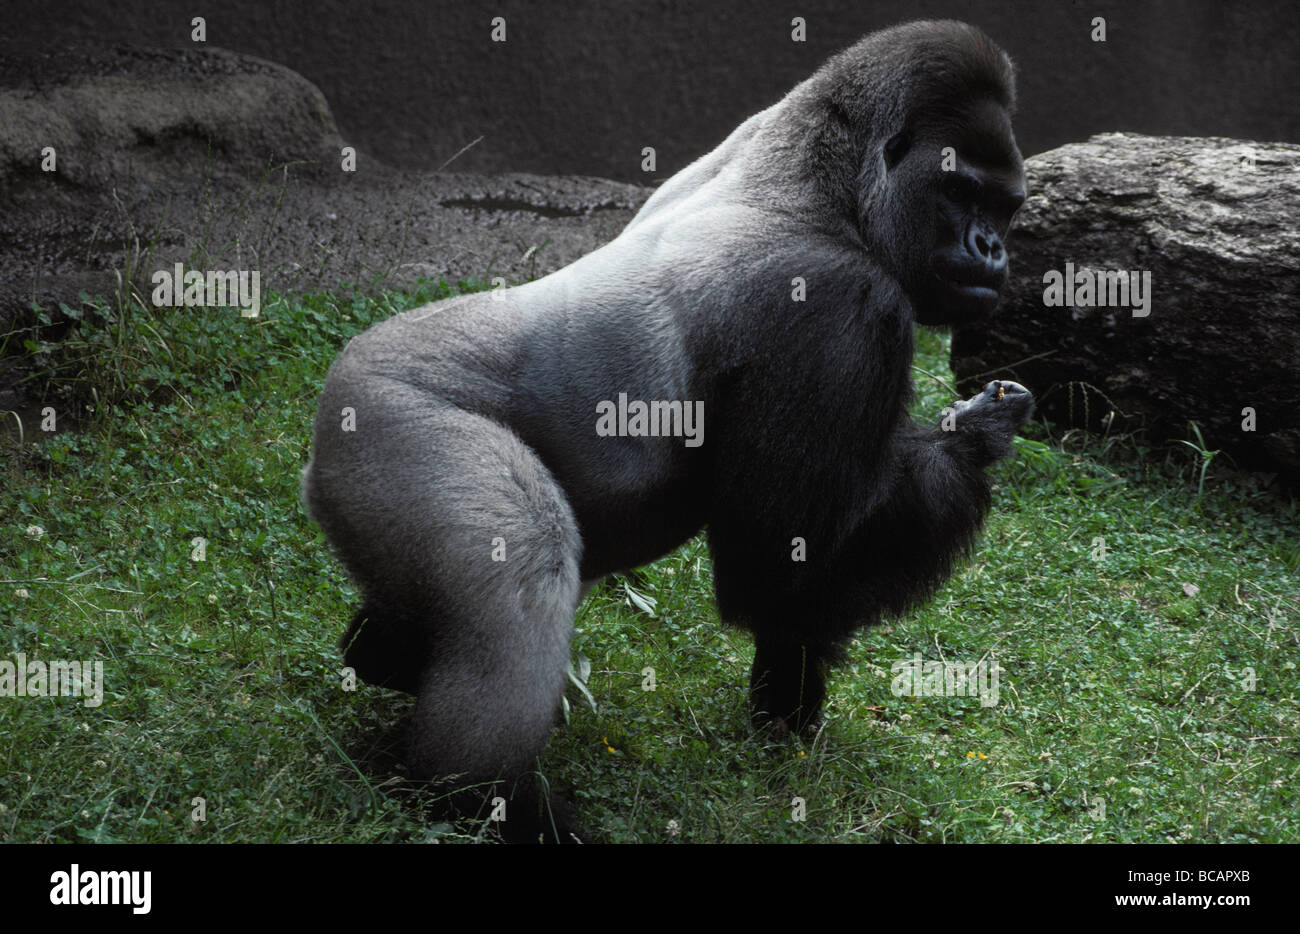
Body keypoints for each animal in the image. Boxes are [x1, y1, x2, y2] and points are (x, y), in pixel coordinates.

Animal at [302, 19, 1033, 841]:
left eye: (1006, 207)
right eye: (961, 191)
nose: (991, 250)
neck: (825, 183)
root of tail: (327, 419)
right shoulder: (842, 306)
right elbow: (776, 575)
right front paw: (973, 442)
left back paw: (383, 655)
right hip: (383, 421)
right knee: (523, 561)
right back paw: (485, 794)